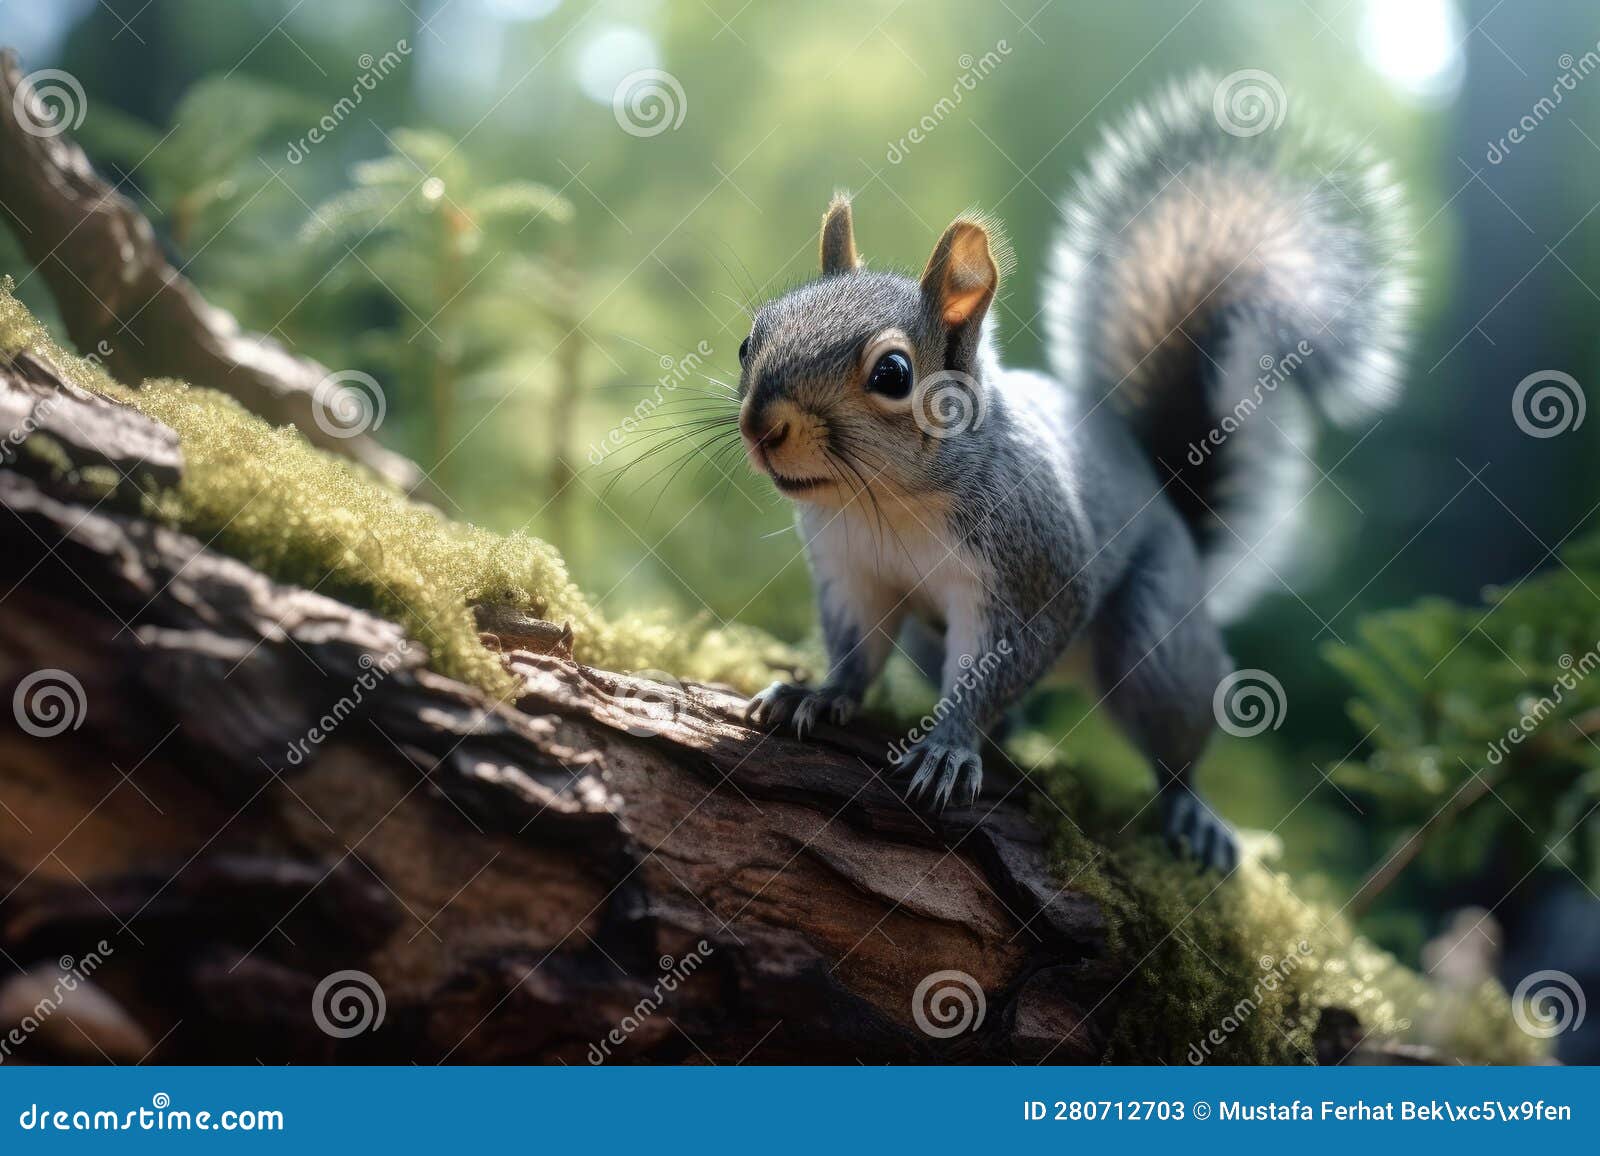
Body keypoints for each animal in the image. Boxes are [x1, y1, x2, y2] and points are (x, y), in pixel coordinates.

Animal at [738, 74, 1410, 870]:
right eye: (749, 339)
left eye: (893, 373)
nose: (760, 426)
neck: (892, 503)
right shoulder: (853, 570)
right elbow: (856, 649)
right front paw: (816, 694)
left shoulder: (1034, 566)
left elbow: (998, 664)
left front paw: (949, 746)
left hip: (1155, 638)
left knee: (1173, 732)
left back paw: (1189, 811)